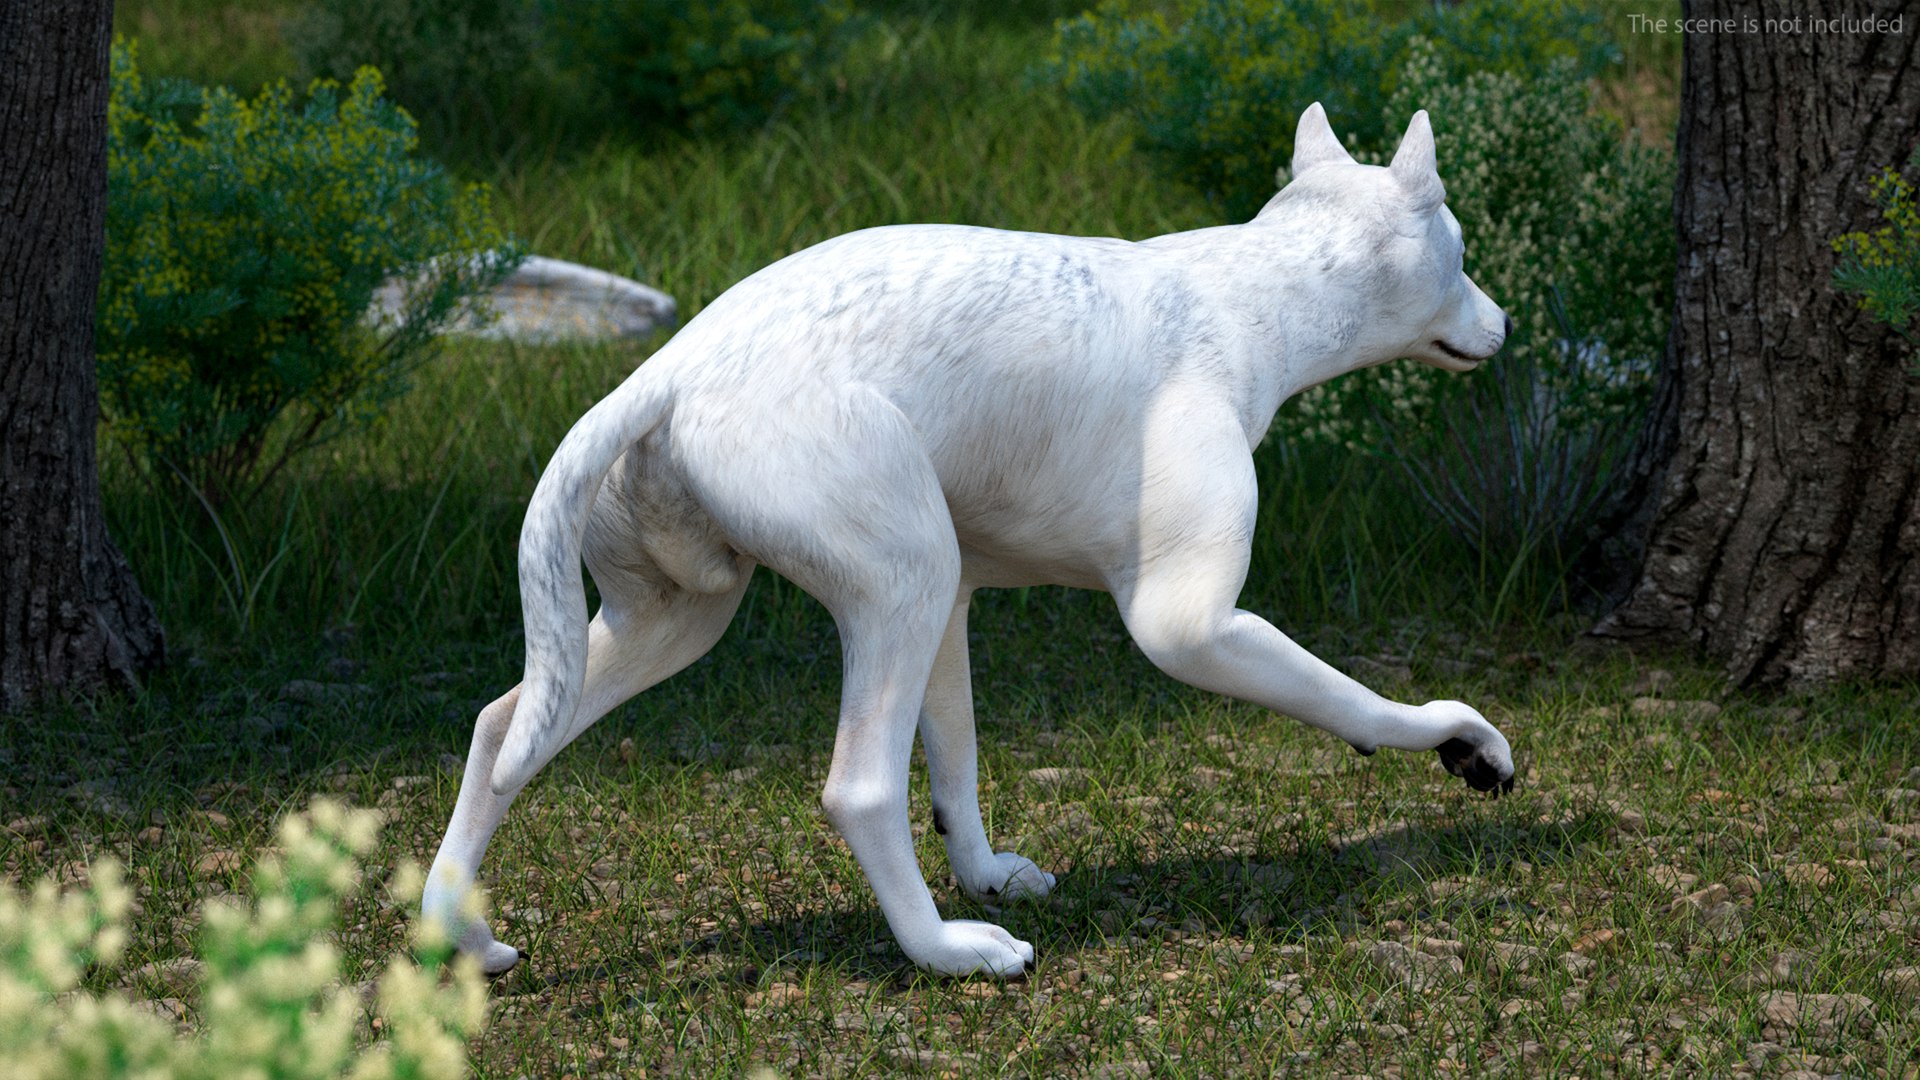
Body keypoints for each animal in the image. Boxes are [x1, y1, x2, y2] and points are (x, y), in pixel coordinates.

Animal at [422, 104, 1516, 979]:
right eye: (1462, 254)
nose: (1505, 324)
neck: (1255, 290)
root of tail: (673, 371)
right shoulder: (1185, 623)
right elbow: (1349, 697)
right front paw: (1459, 740)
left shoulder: (956, 604)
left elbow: (955, 763)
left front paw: (985, 872)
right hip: (890, 582)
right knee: (859, 790)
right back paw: (950, 954)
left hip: (701, 614)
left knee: (502, 726)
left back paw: (456, 933)